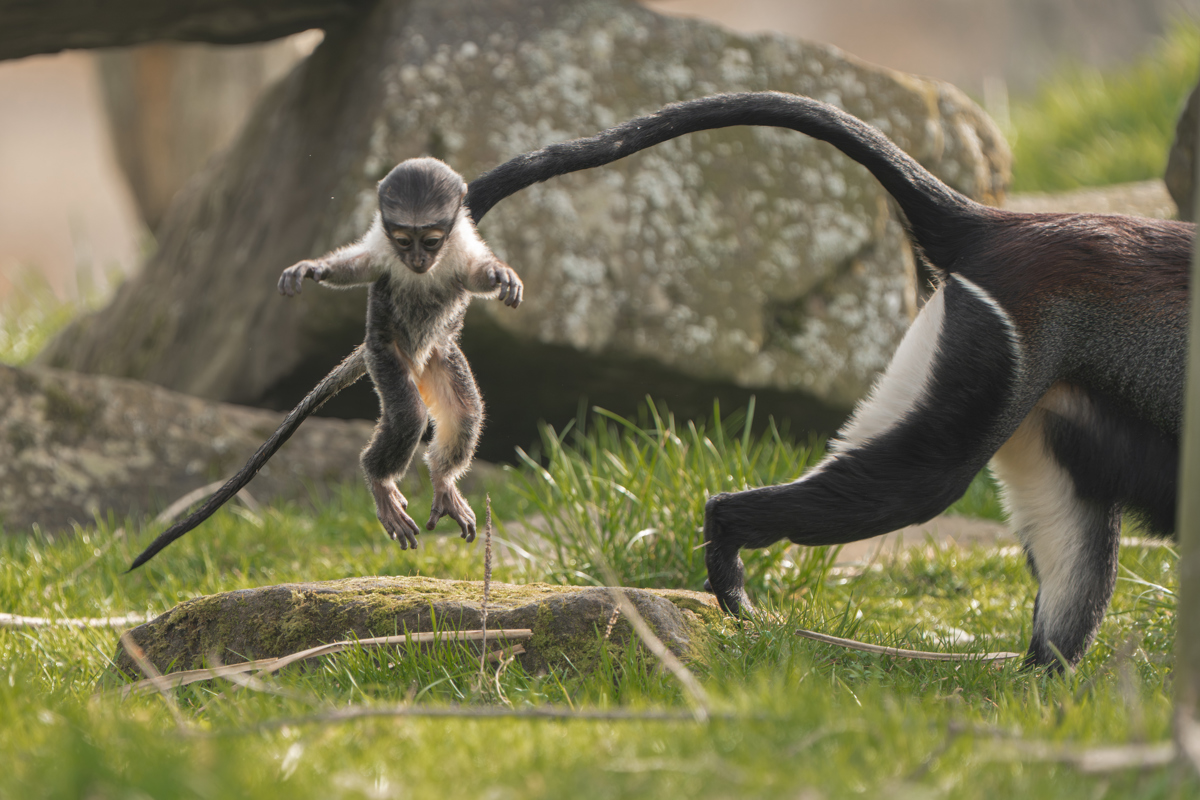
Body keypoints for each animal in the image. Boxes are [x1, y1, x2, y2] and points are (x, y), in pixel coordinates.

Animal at [129, 157, 522, 569]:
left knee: (464, 413)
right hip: (385, 355)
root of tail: (414, 359)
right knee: (409, 415)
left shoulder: (460, 245)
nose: (417, 259)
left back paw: (443, 479)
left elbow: (475, 274)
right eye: (404, 240)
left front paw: (500, 275)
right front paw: (312, 269)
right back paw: (379, 479)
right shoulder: (383, 252)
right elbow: (358, 266)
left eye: (430, 240)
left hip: (438, 354)